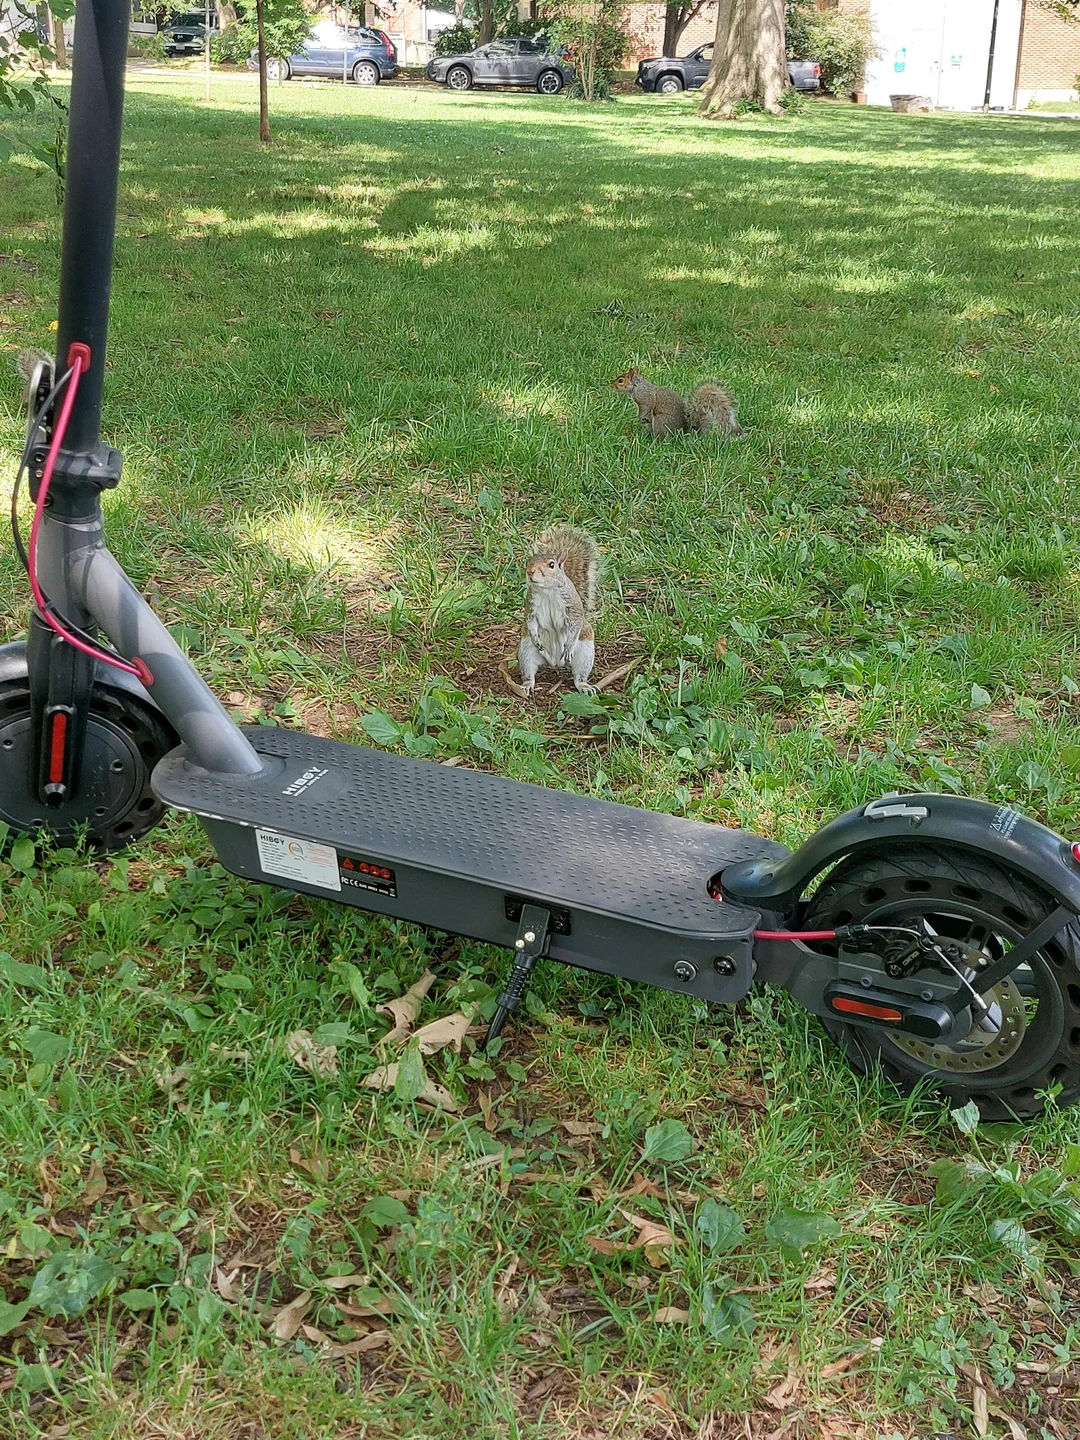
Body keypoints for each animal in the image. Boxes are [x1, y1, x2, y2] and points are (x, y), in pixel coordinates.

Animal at [518, 525, 601, 696]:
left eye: (552, 565)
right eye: (528, 562)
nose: (530, 571)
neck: (547, 590)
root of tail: (555, 663)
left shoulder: (572, 608)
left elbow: (575, 624)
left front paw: (568, 646)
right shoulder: (531, 606)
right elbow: (530, 622)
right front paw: (537, 639)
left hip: (584, 653)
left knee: (579, 677)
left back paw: (584, 686)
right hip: (526, 652)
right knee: (529, 673)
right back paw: (527, 684)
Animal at [611, 367, 743, 437]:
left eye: (621, 380)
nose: (611, 385)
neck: (638, 387)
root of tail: (683, 431)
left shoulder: (645, 399)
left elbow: (646, 408)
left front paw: (640, 417)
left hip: (660, 421)